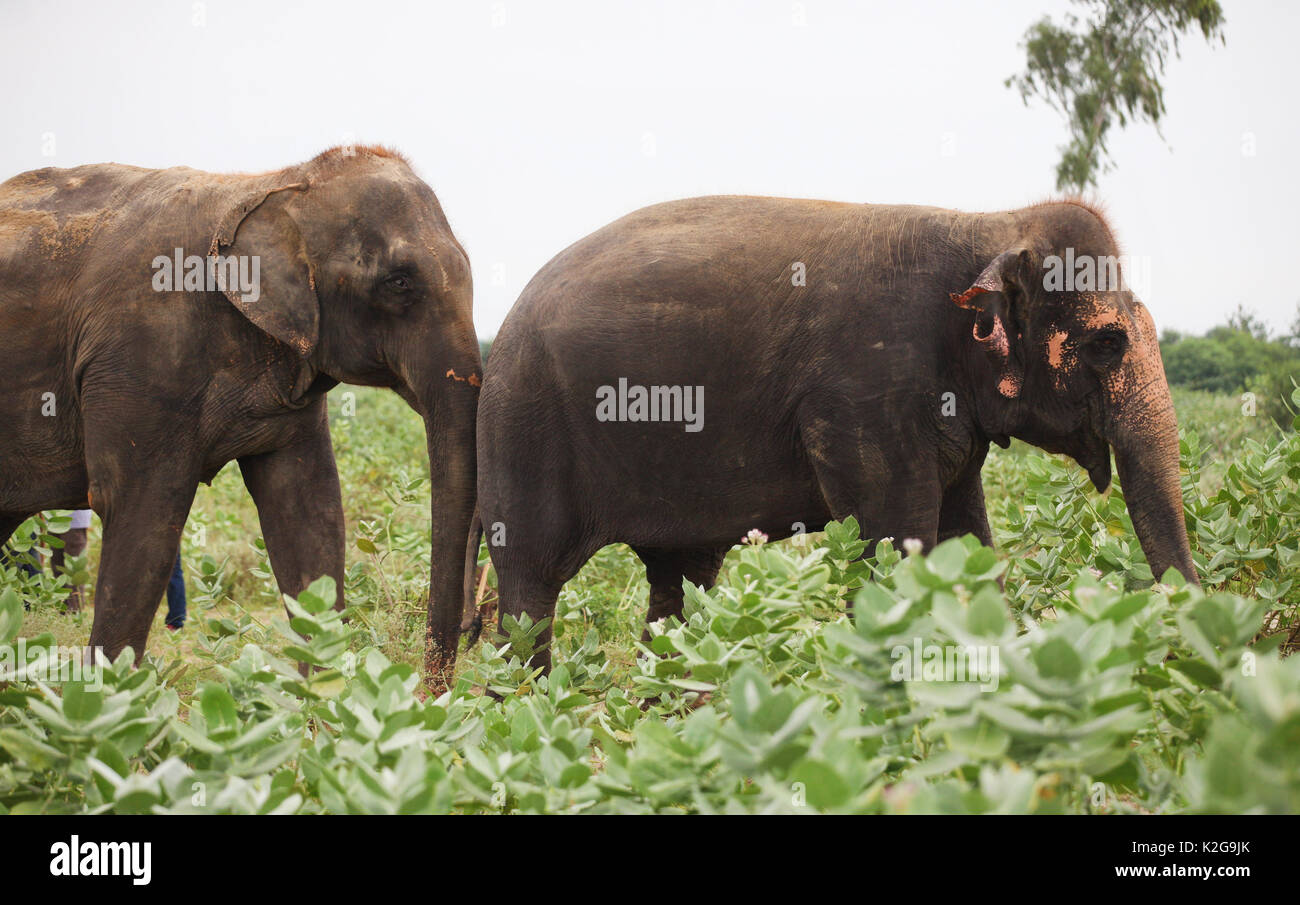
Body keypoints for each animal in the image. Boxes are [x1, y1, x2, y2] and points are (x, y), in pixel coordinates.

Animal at [0, 146, 481, 677]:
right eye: (399, 282)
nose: (430, 687)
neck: (277, 184)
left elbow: (309, 512)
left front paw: (326, 697)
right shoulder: (139, 355)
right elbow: (143, 508)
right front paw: (107, 694)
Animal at [475, 195, 1198, 672]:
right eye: (1107, 344)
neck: (988, 222)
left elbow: (965, 543)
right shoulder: (867, 397)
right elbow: (893, 544)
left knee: (678, 580)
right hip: (524, 425)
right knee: (531, 584)